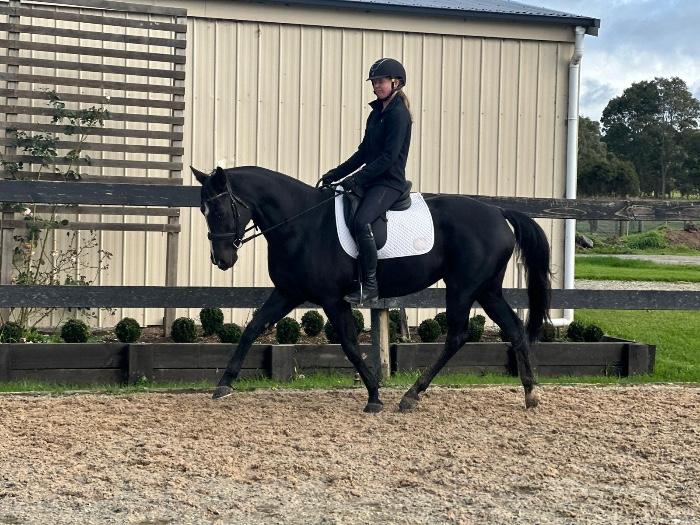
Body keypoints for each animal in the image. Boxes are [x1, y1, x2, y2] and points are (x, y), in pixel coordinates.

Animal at [191, 165, 551, 412]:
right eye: (203, 211)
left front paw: (375, 396)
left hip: (463, 287)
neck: (301, 225)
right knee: (514, 328)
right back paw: (530, 393)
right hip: (487, 289)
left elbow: (350, 344)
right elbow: (253, 328)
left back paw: (412, 395)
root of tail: (498, 212)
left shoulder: (331, 299)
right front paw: (224, 384)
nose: (221, 259)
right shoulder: (288, 293)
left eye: (219, 210)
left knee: (458, 336)